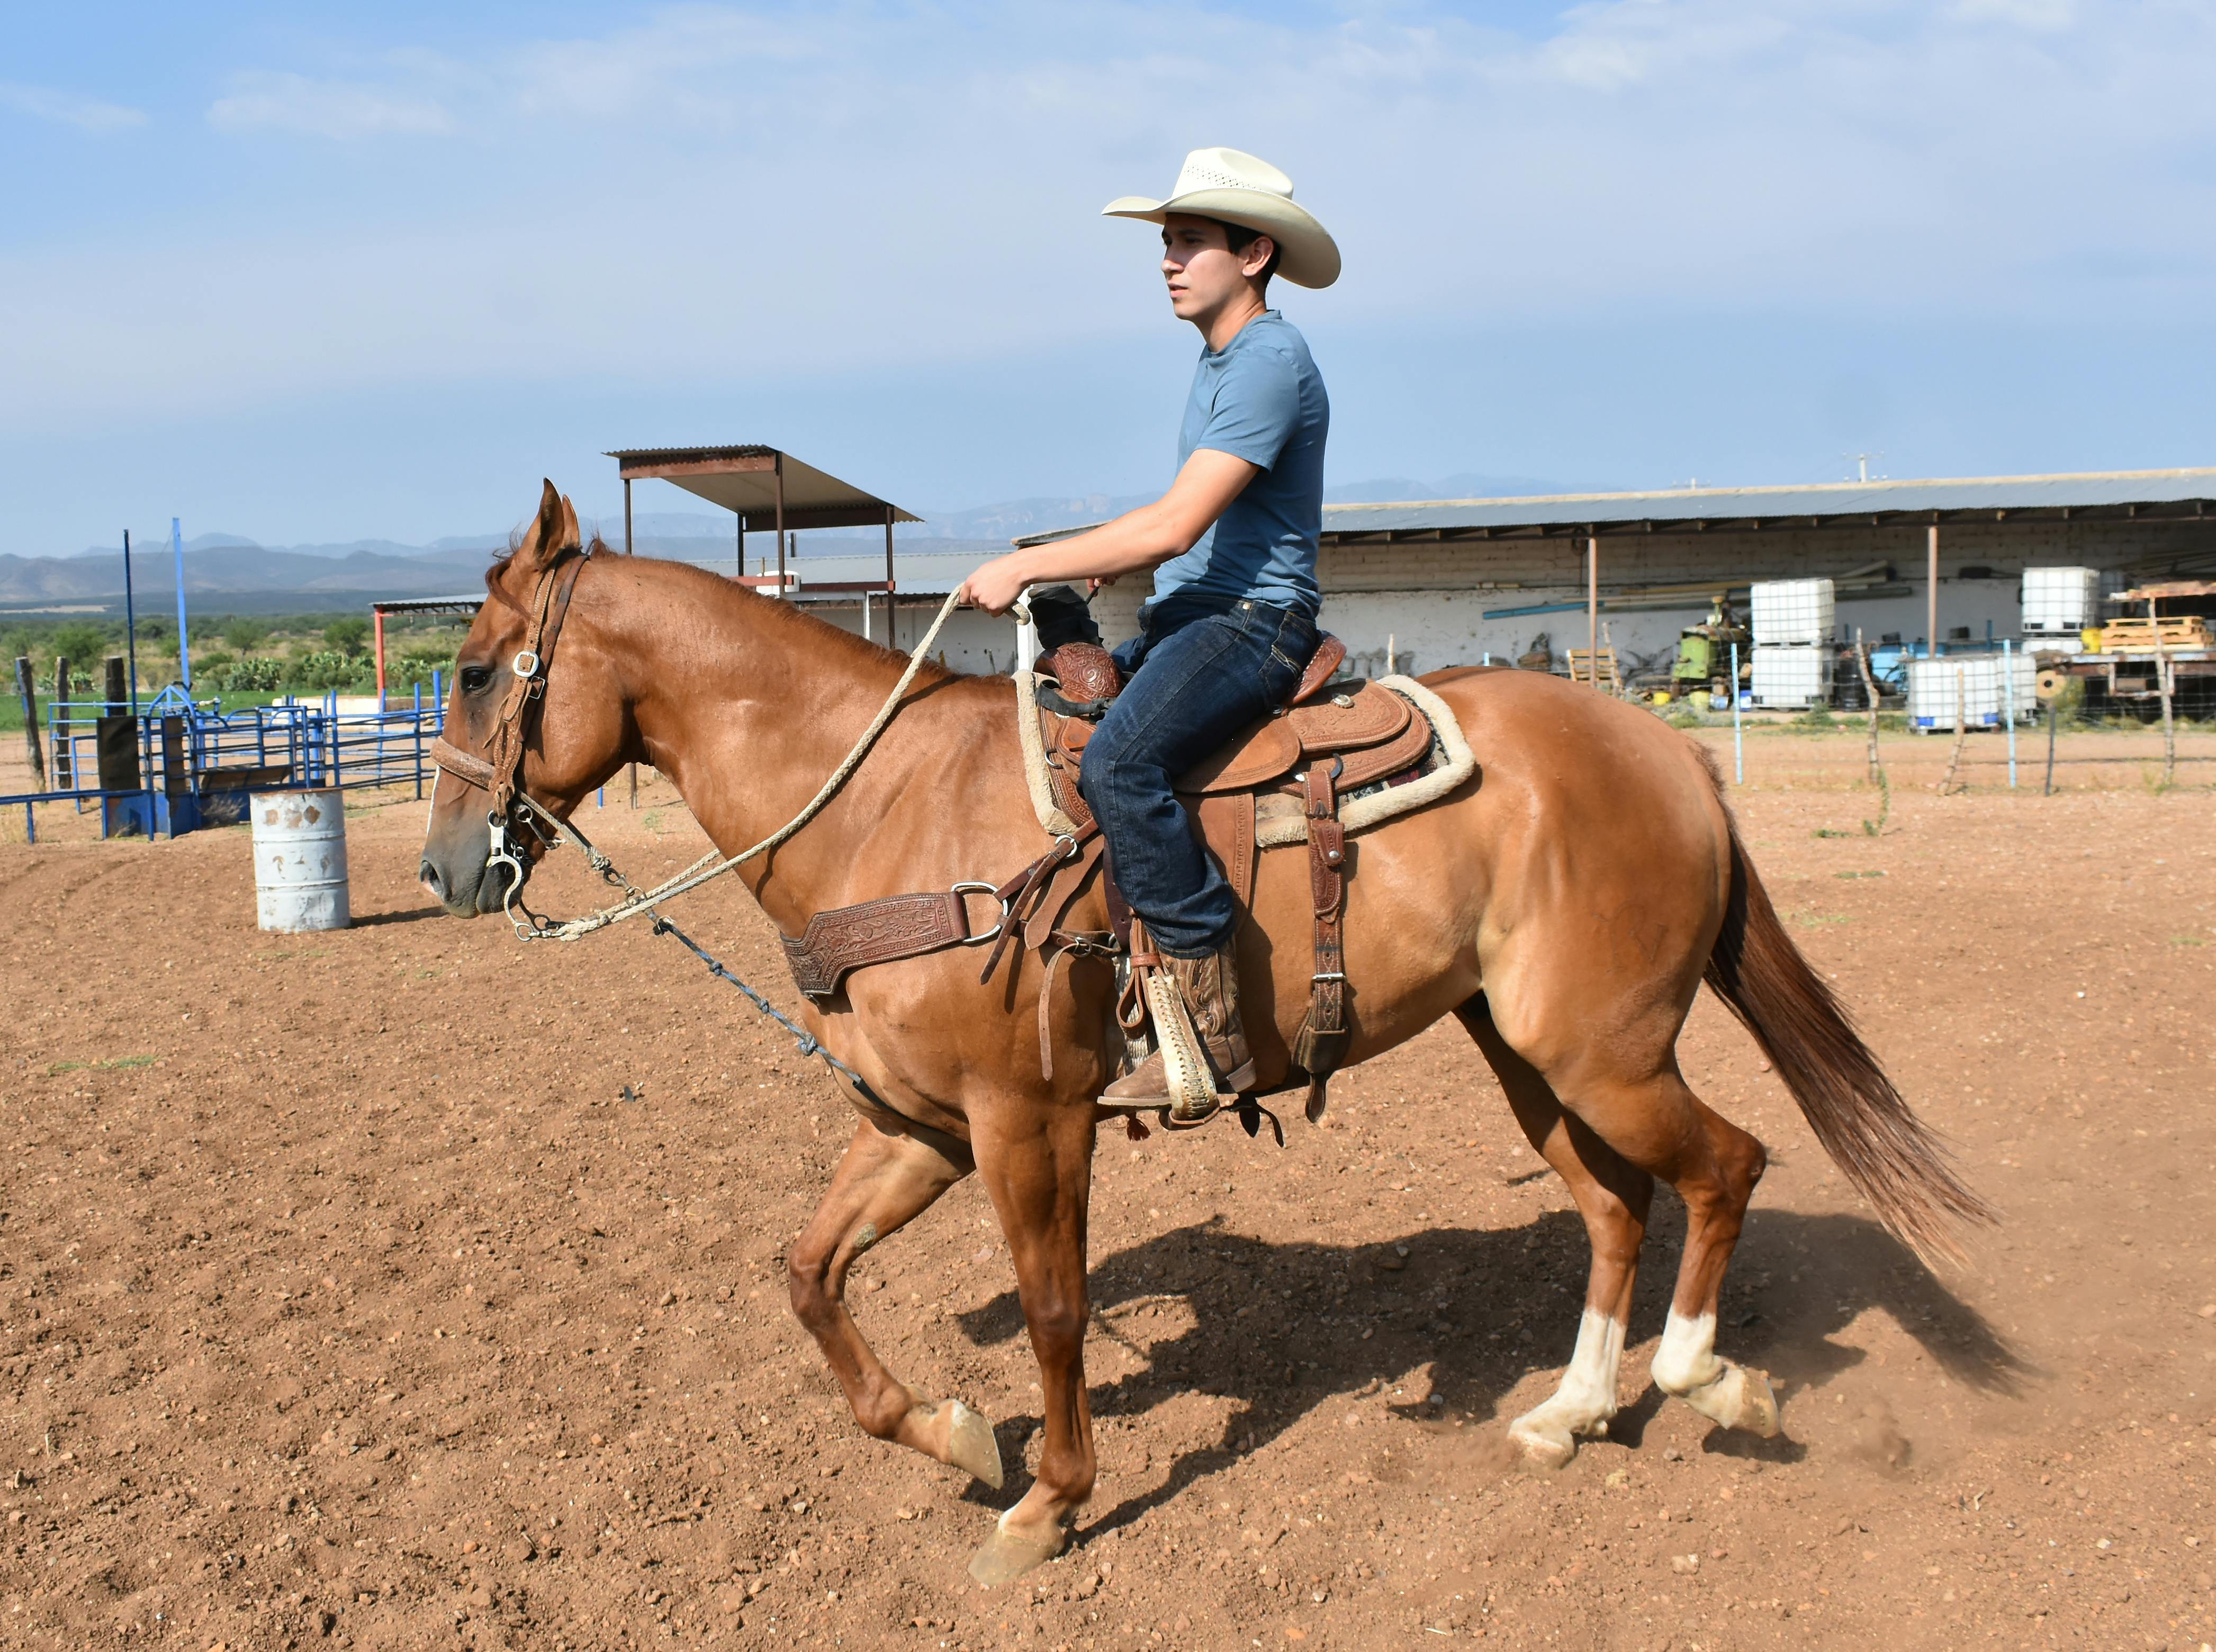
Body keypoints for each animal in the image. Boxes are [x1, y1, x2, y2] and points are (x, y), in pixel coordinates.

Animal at [418, 483, 1990, 1586]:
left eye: (484, 671)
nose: (443, 872)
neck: (884, 808)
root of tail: (1668, 754)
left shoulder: (1028, 1121)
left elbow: (1053, 1307)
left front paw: (1047, 1503)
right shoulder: (923, 1127)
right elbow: (808, 1276)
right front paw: (955, 1433)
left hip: (1605, 1048)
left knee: (1725, 1167)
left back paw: (1706, 1381)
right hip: (1527, 1050)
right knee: (1619, 1206)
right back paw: (1571, 1409)